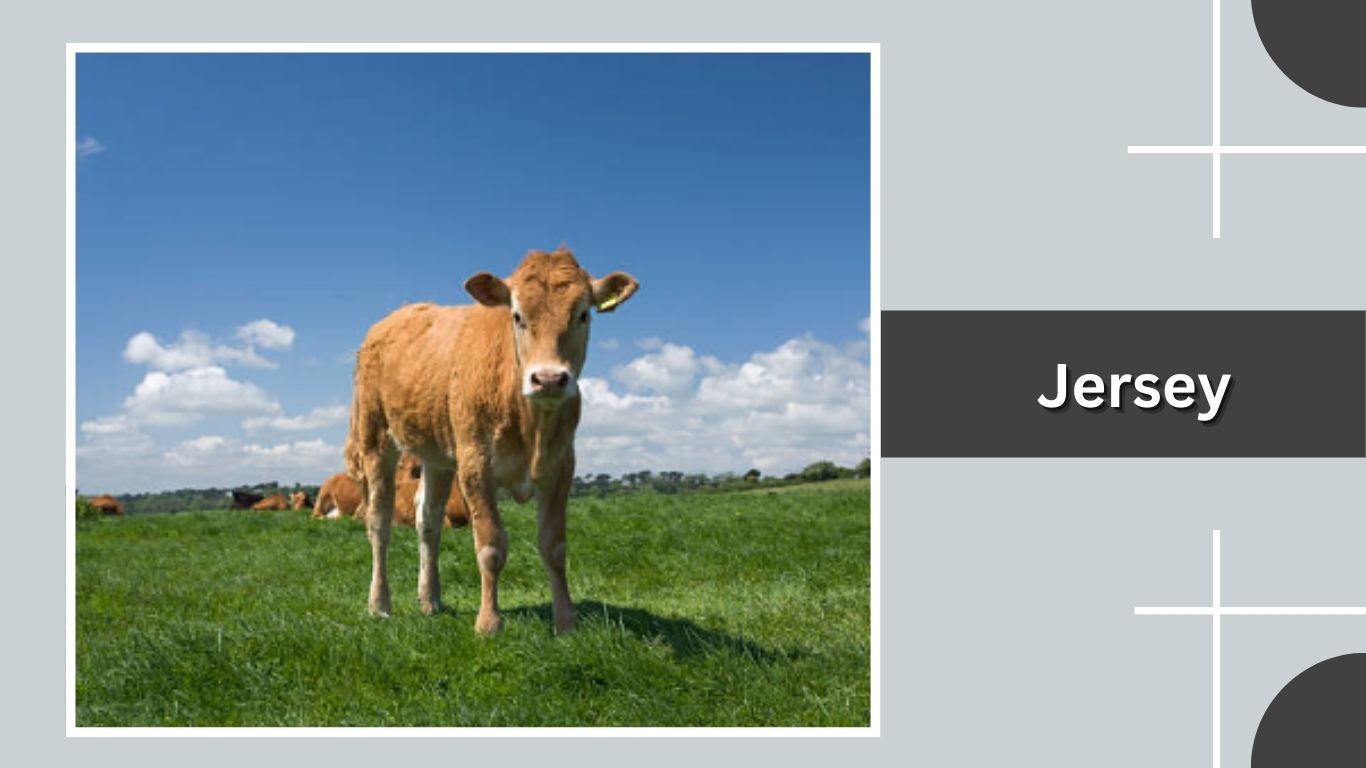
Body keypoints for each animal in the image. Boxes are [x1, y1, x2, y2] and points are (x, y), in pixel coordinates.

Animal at [345, 248, 637, 633]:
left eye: (583, 314)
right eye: (517, 315)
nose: (548, 379)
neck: (531, 424)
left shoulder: (561, 466)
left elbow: (554, 545)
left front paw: (566, 621)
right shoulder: (475, 466)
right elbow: (490, 546)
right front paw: (488, 622)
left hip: (437, 456)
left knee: (429, 520)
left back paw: (431, 599)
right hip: (375, 438)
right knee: (379, 522)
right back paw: (379, 604)